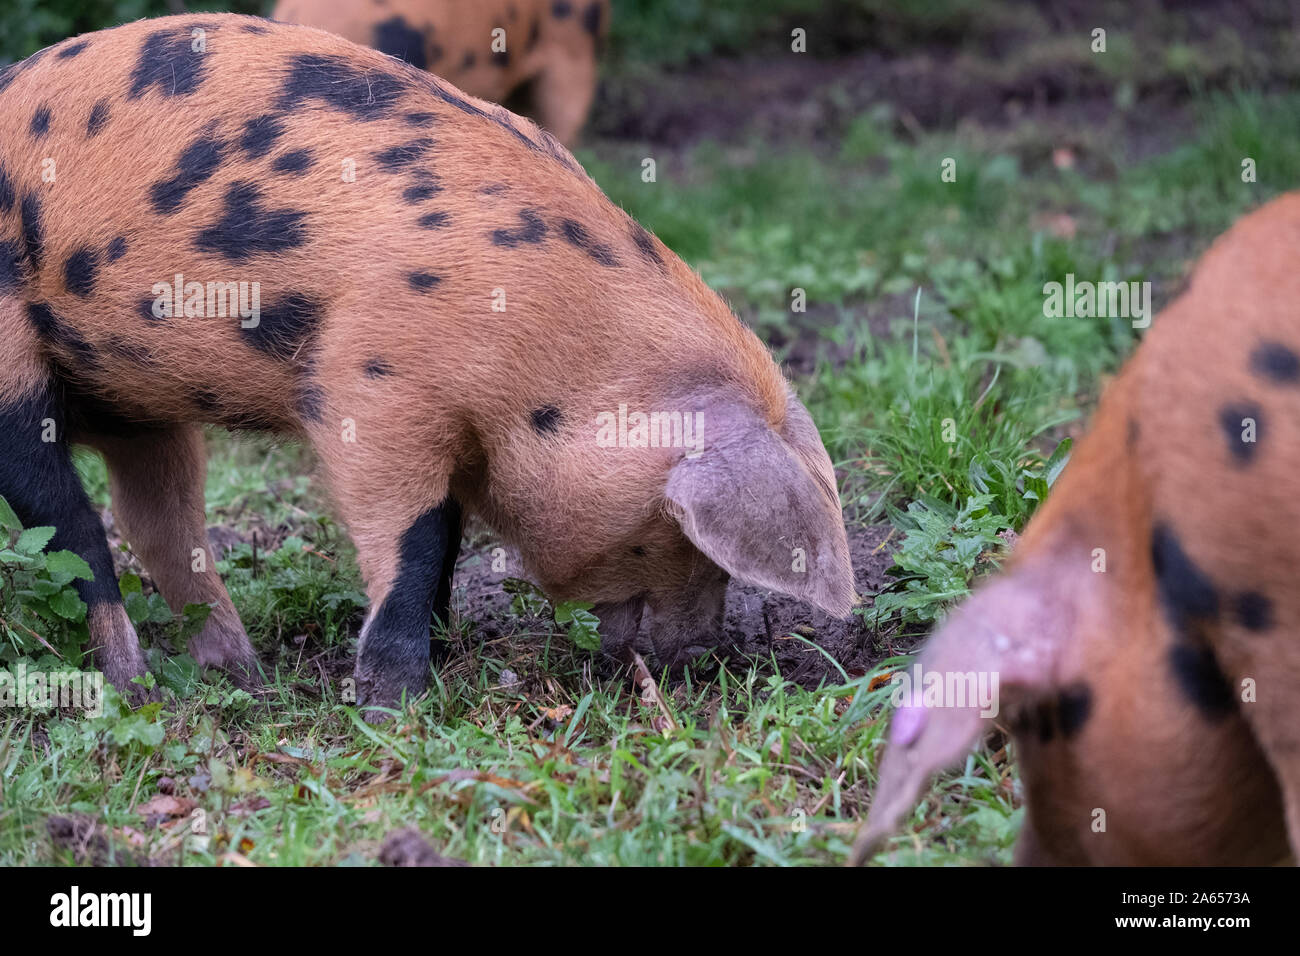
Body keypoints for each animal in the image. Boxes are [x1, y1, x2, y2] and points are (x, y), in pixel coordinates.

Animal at [0, 15, 854, 712]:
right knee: (71, 529)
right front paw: (394, 704)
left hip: (139, 400)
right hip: (14, 363)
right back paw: (136, 687)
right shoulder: (369, 385)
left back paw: (242, 677)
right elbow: (416, 536)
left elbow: (444, 546)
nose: (705, 660)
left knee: (158, 520)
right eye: (680, 534)